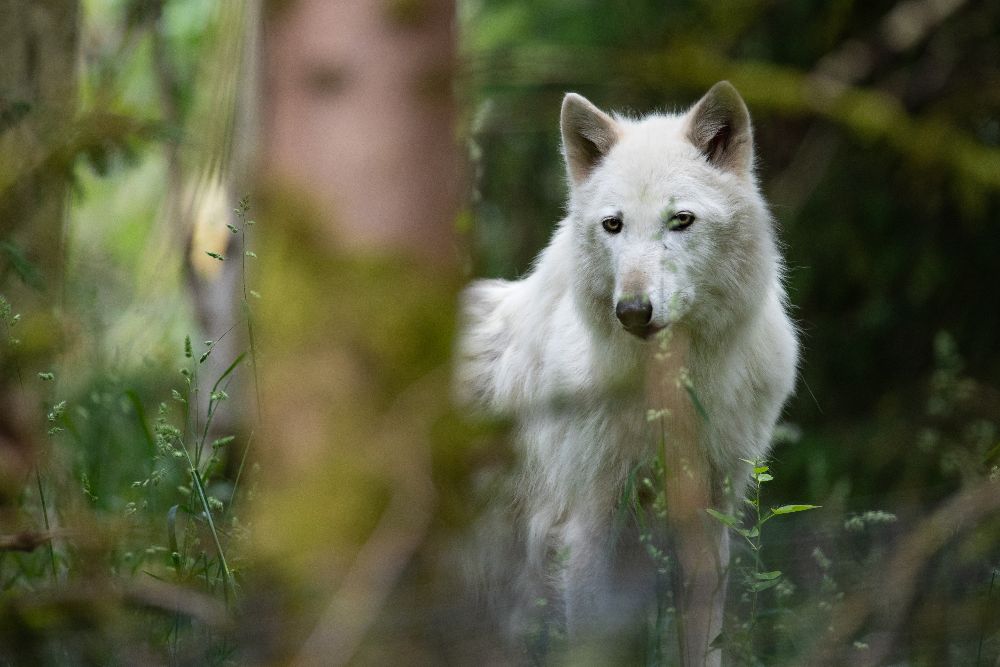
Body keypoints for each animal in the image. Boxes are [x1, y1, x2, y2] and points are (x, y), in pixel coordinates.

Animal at [456, 82, 798, 665]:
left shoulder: (706, 525)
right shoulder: (586, 532)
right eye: (612, 225)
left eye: (680, 220)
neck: (669, 387)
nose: (633, 311)